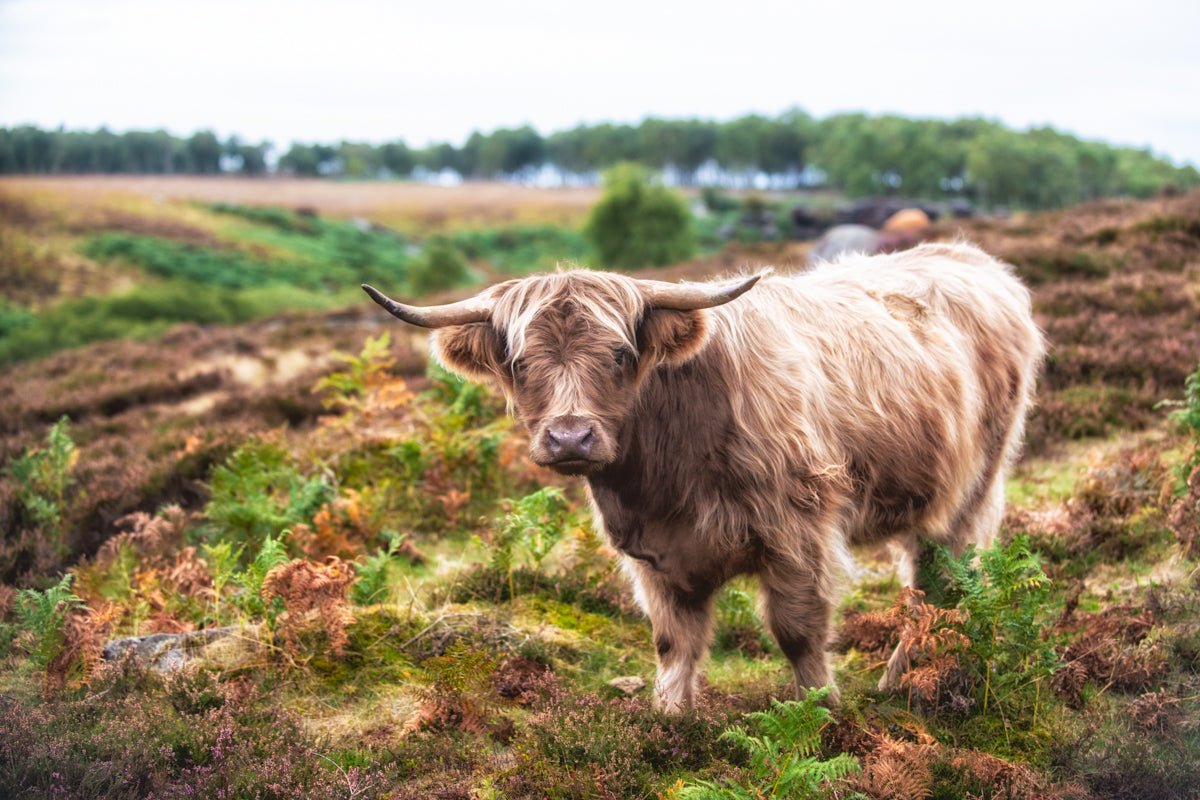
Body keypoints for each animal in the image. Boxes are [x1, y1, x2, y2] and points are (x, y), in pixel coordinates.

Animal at [362, 241, 1044, 711]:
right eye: (520, 361)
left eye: (620, 355)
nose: (570, 437)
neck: (668, 479)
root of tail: (971, 259)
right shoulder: (652, 554)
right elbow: (673, 641)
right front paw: (668, 719)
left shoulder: (798, 532)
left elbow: (797, 631)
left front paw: (824, 713)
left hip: (973, 488)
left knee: (945, 580)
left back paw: (906, 683)